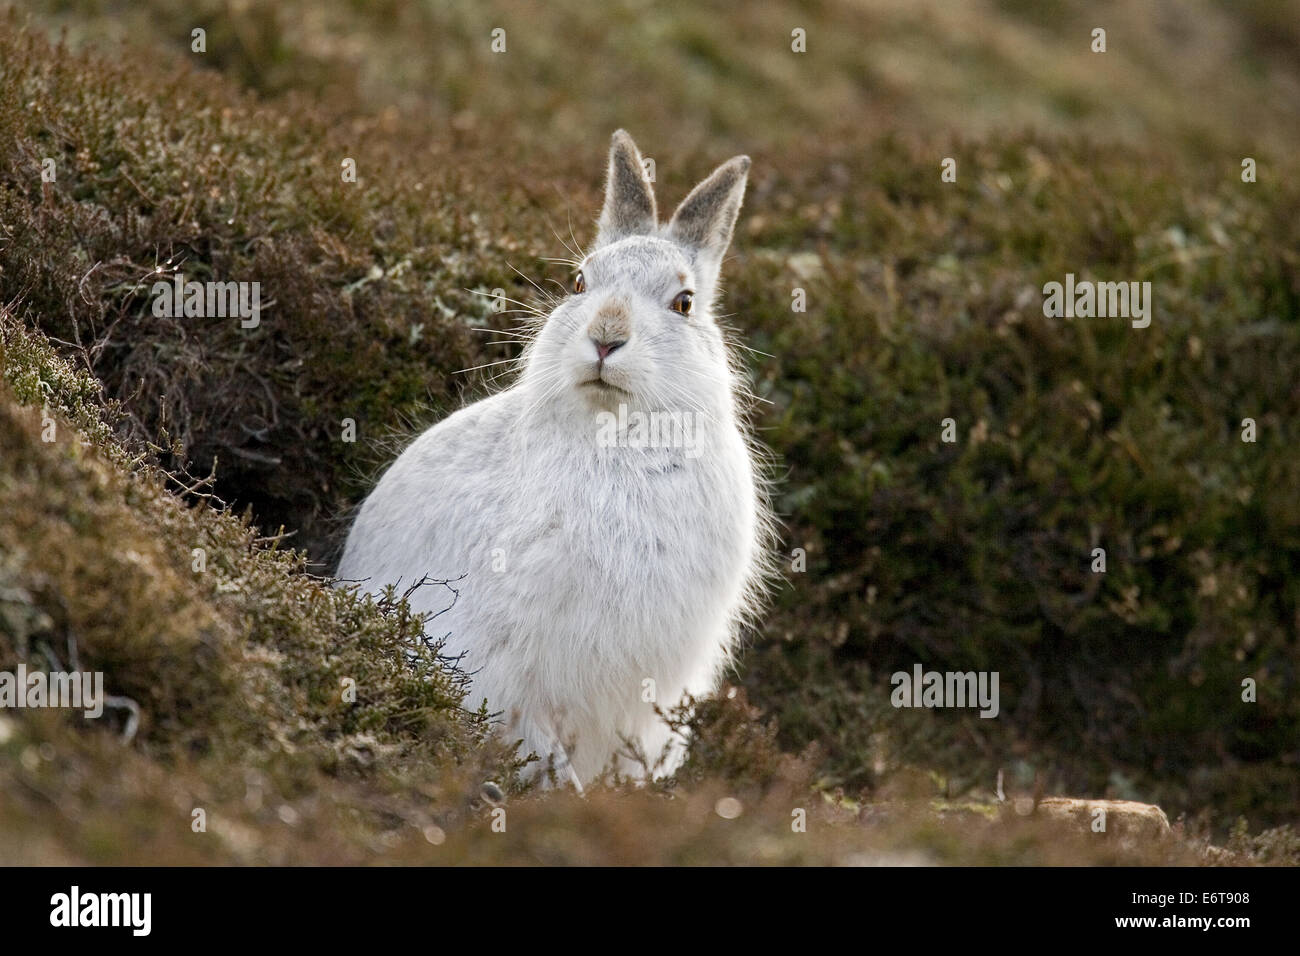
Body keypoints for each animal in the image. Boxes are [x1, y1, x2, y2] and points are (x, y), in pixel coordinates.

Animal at [336, 130, 775, 788]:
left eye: (685, 302)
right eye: (579, 284)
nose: (606, 336)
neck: (617, 435)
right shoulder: (512, 665)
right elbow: (535, 731)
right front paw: (568, 794)